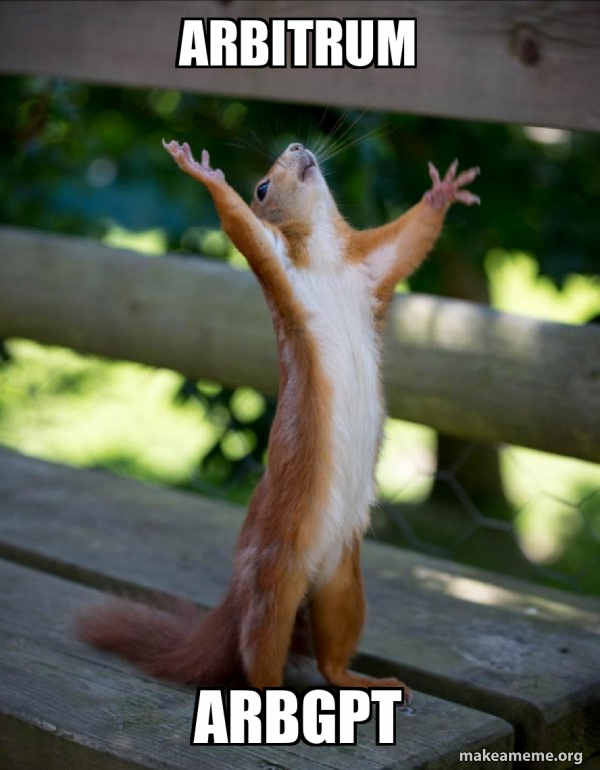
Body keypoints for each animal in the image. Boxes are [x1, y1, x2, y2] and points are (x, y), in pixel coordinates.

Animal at [77, 139, 480, 699]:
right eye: (263, 187)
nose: (296, 146)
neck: (327, 259)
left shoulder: (372, 267)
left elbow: (410, 239)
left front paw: (442, 192)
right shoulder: (277, 265)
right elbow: (240, 226)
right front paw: (203, 173)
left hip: (344, 586)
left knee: (332, 655)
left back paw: (363, 678)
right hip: (273, 584)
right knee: (259, 656)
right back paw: (274, 693)